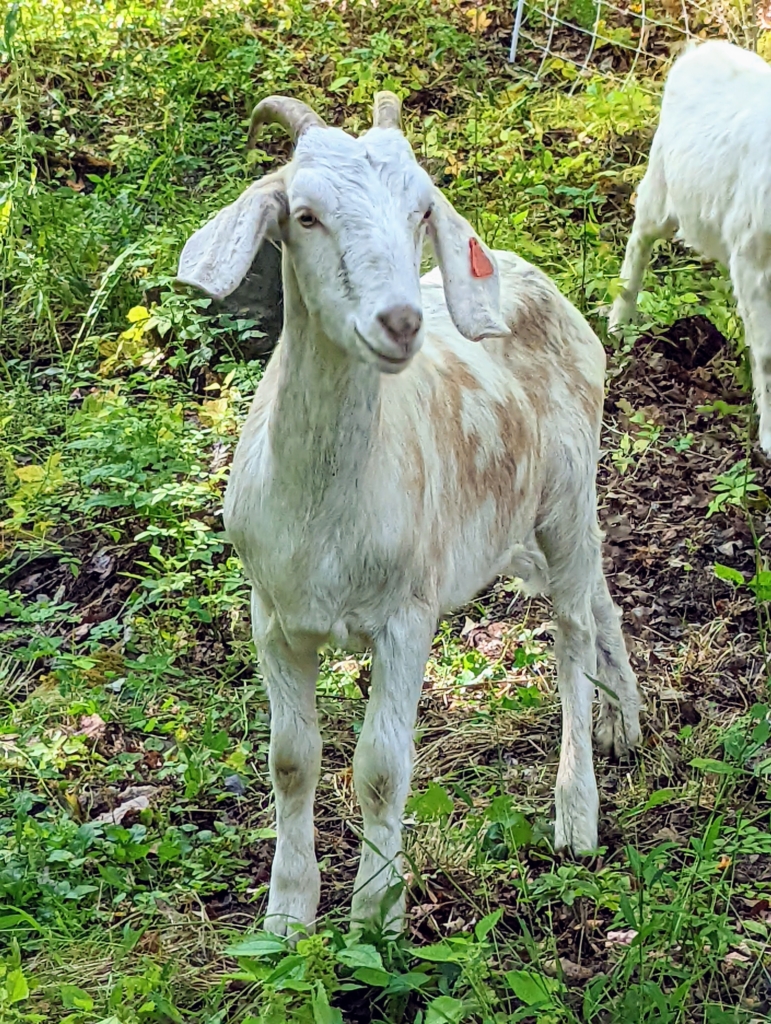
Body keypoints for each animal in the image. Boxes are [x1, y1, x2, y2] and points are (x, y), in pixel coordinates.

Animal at [177, 93, 641, 938]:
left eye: (422, 209)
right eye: (304, 215)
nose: (400, 322)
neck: (324, 516)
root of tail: (529, 274)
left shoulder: (405, 616)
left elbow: (381, 769)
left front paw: (374, 915)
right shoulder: (272, 616)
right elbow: (290, 761)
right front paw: (287, 915)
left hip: (567, 493)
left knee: (570, 631)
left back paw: (576, 812)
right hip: (515, 531)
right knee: (599, 595)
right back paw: (625, 719)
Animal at [608, 39, 771, 453]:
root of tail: (706, 48)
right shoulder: (752, 259)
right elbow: (767, 354)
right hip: (661, 188)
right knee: (638, 240)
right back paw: (619, 326)